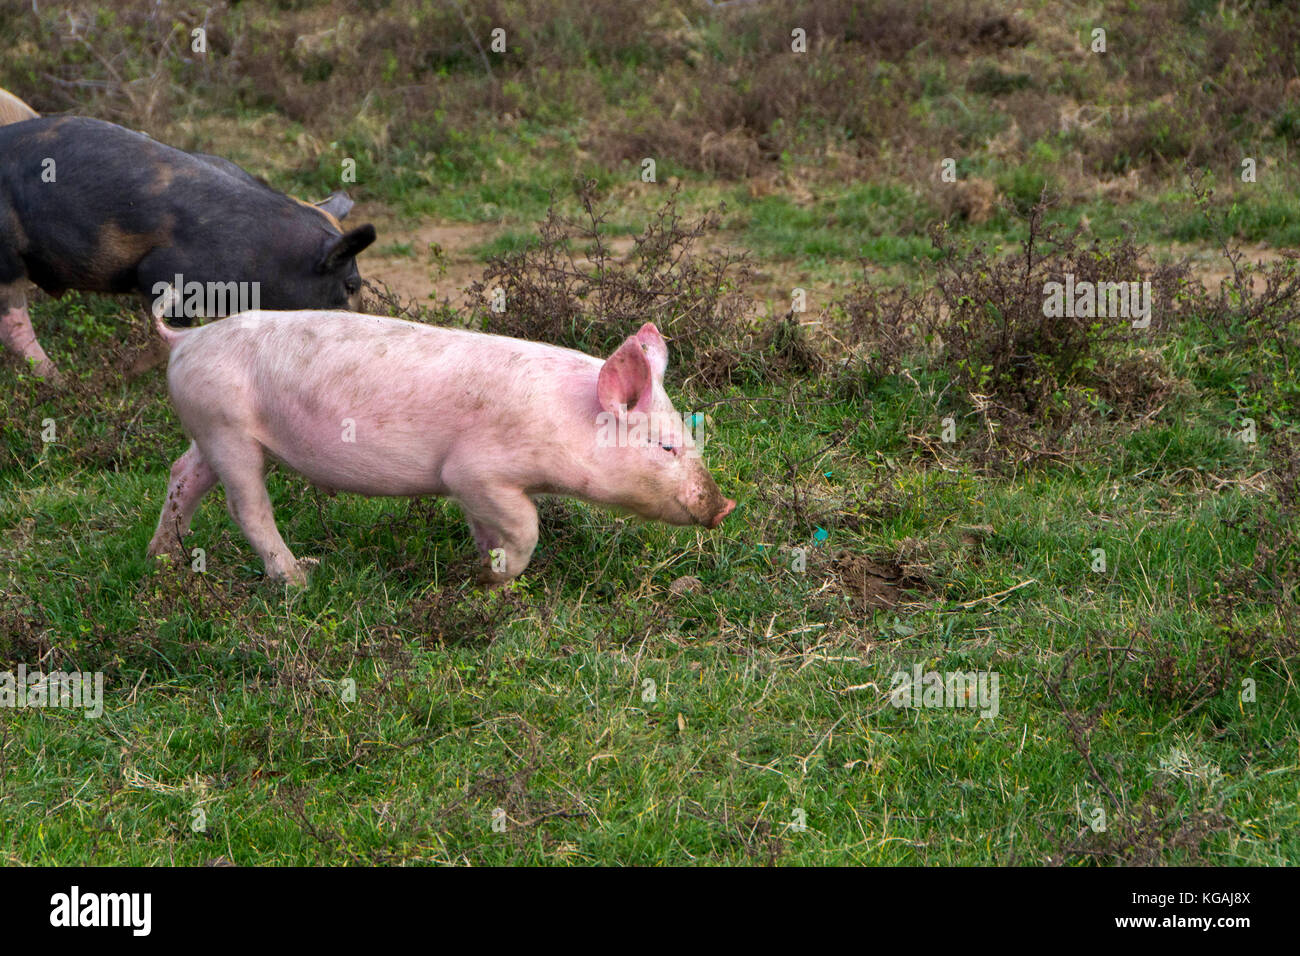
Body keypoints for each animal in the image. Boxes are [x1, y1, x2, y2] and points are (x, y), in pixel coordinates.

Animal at [0, 91, 376, 385]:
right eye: (350, 285)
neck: (270, 256)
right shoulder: (163, 273)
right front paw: (122, 375)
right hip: (8, 253)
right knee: (15, 324)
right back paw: (59, 382)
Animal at [146, 310, 736, 585]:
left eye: (690, 437)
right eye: (666, 447)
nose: (724, 505)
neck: (565, 419)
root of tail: (185, 339)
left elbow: (489, 528)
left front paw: (481, 565)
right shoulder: (472, 472)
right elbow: (525, 526)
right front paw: (491, 578)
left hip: (209, 430)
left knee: (181, 474)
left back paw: (163, 562)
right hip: (227, 427)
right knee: (246, 506)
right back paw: (301, 578)